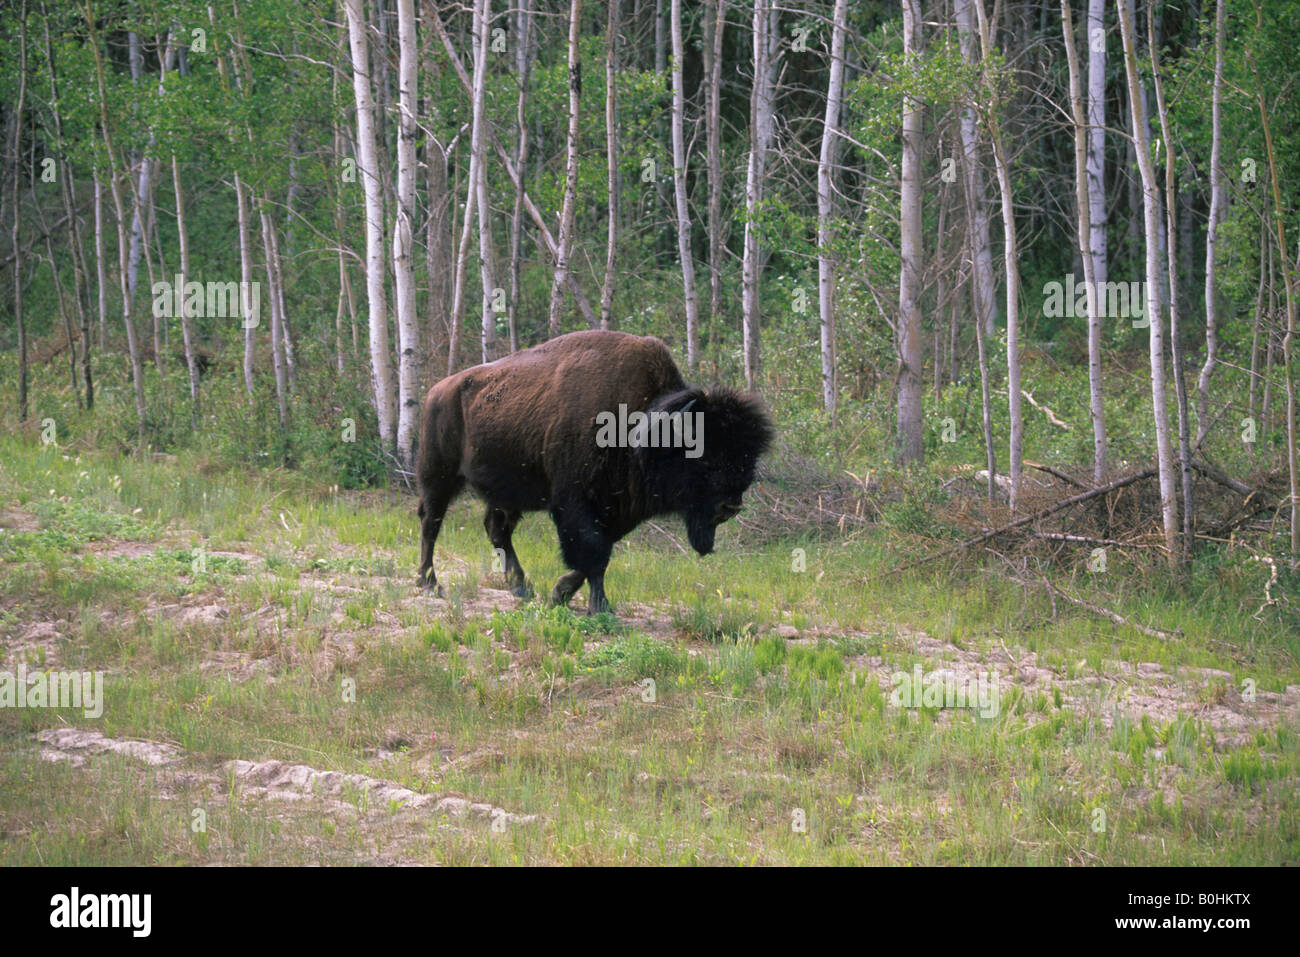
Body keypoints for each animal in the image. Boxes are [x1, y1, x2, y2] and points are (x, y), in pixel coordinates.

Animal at [416, 330, 774, 613]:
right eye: (706, 458)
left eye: (748, 457)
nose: (731, 506)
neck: (640, 422)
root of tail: (437, 390)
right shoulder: (576, 502)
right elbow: (593, 552)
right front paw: (599, 607)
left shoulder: (620, 508)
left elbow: (601, 552)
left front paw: (560, 593)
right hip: (439, 476)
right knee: (431, 521)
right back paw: (429, 583)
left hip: (506, 492)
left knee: (496, 528)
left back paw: (521, 586)